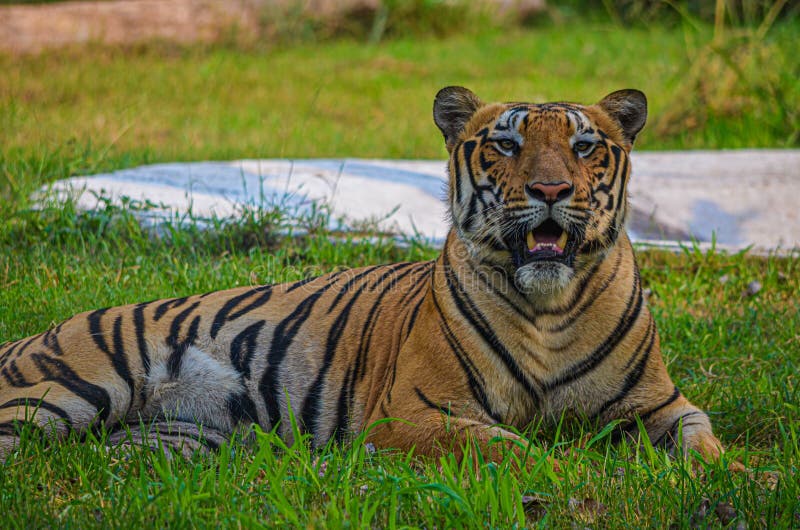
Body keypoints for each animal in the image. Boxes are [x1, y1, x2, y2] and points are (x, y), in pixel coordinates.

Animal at [0, 87, 723, 464]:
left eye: (585, 146)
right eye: (506, 143)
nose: (550, 189)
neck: (551, 311)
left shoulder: (658, 404)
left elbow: (705, 445)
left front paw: (734, 478)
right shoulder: (419, 413)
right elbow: (521, 451)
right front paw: (577, 476)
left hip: (178, 439)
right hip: (62, 390)